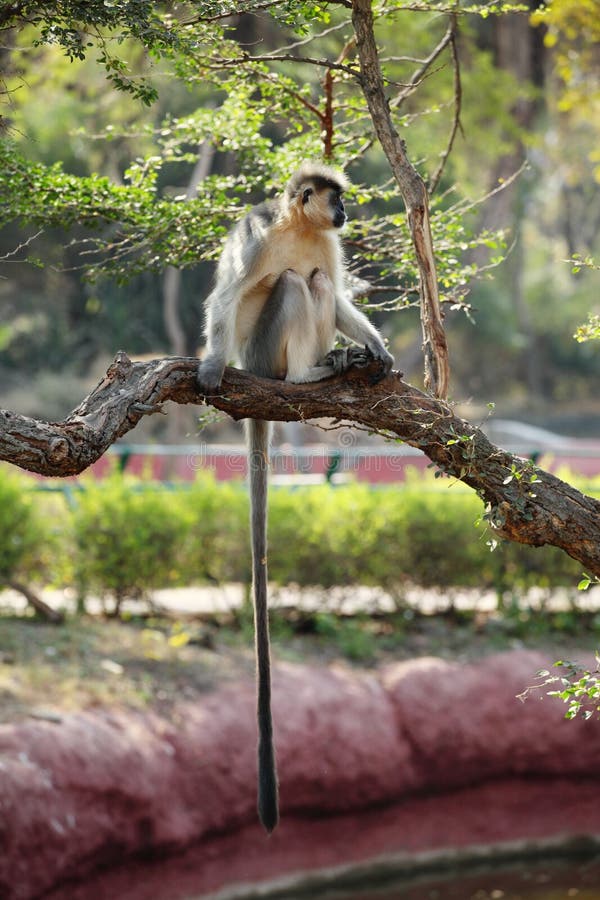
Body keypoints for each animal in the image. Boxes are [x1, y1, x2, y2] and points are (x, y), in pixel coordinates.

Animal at [197, 162, 394, 833]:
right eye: (336, 200)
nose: (345, 213)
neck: (298, 227)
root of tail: (261, 375)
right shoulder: (256, 234)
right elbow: (226, 295)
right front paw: (209, 366)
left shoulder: (327, 244)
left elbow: (338, 288)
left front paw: (377, 348)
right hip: (262, 353)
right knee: (288, 282)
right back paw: (307, 373)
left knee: (316, 280)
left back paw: (338, 361)